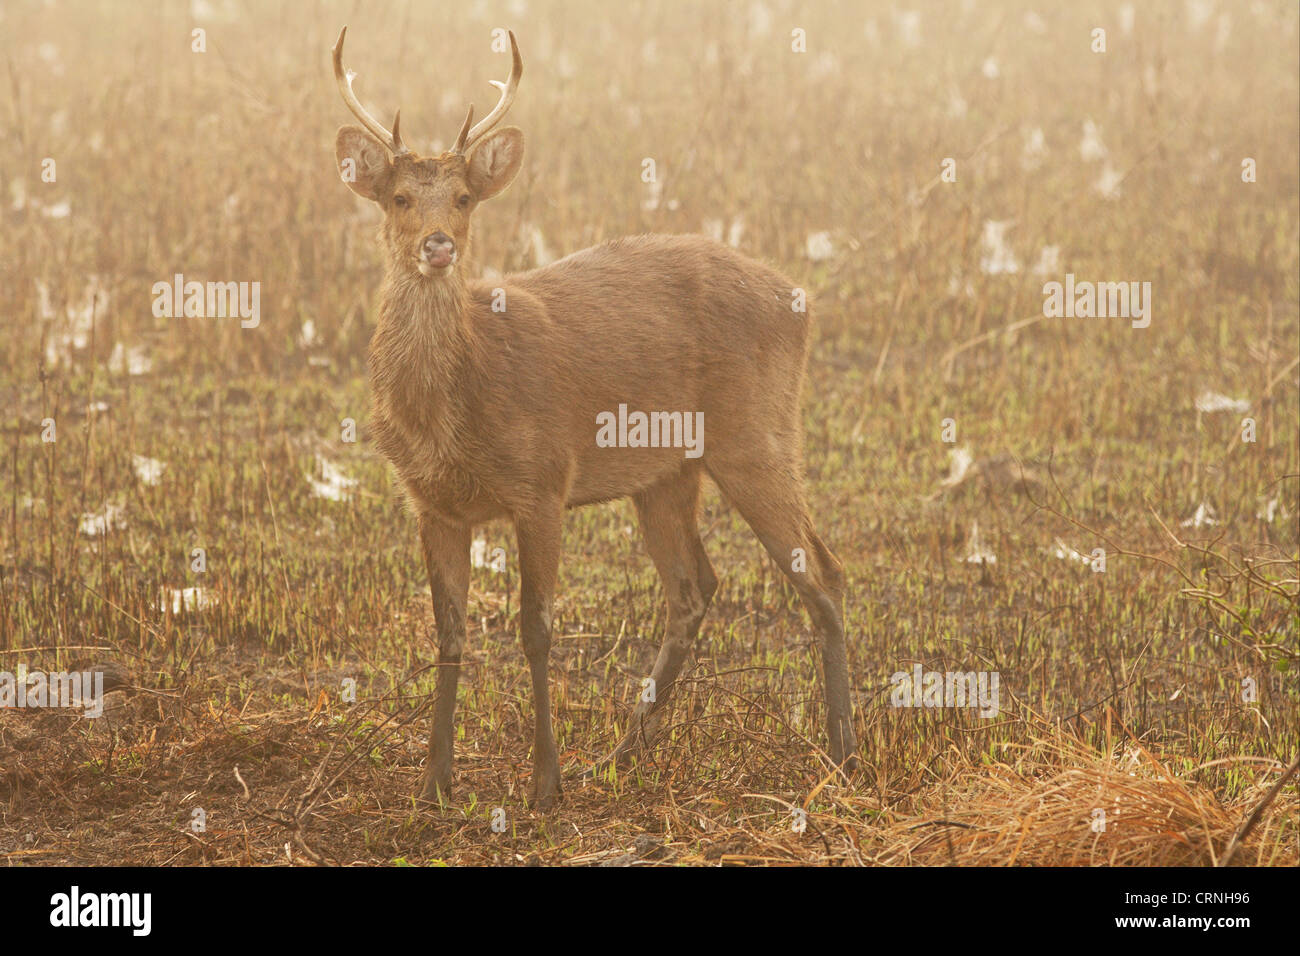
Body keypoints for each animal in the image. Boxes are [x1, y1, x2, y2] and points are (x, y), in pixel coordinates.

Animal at [331, 27, 856, 809]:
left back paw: (844, 755)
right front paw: (435, 781)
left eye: (463, 198)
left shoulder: (544, 481)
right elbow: (448, 634)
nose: (437, 244)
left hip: (756, 431)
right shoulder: (433, 503)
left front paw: (543, 783)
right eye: (397, 197)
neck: (457, 408)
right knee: (694, 588)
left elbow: (536, 629)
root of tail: (803, 299)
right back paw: (620, 753)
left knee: (822, 571)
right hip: (667, 472)